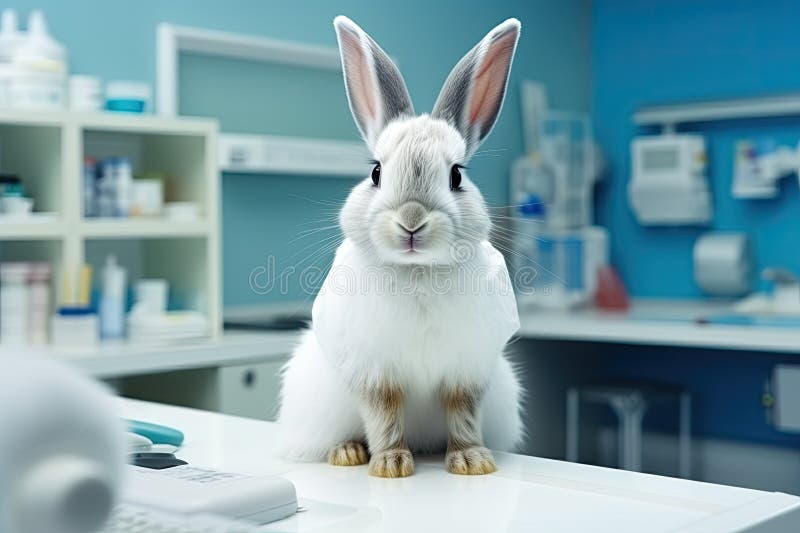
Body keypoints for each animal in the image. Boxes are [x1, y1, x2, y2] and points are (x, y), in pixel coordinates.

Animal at [277, 15, 523, 478]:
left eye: (456, 176)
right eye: (376, 172)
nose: (411, 220)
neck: (418, 270)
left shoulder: (467, 371)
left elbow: (463, 413)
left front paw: (472, 462)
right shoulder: (374, 371)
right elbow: (384, 413)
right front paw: (391, 466)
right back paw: (348, 453)